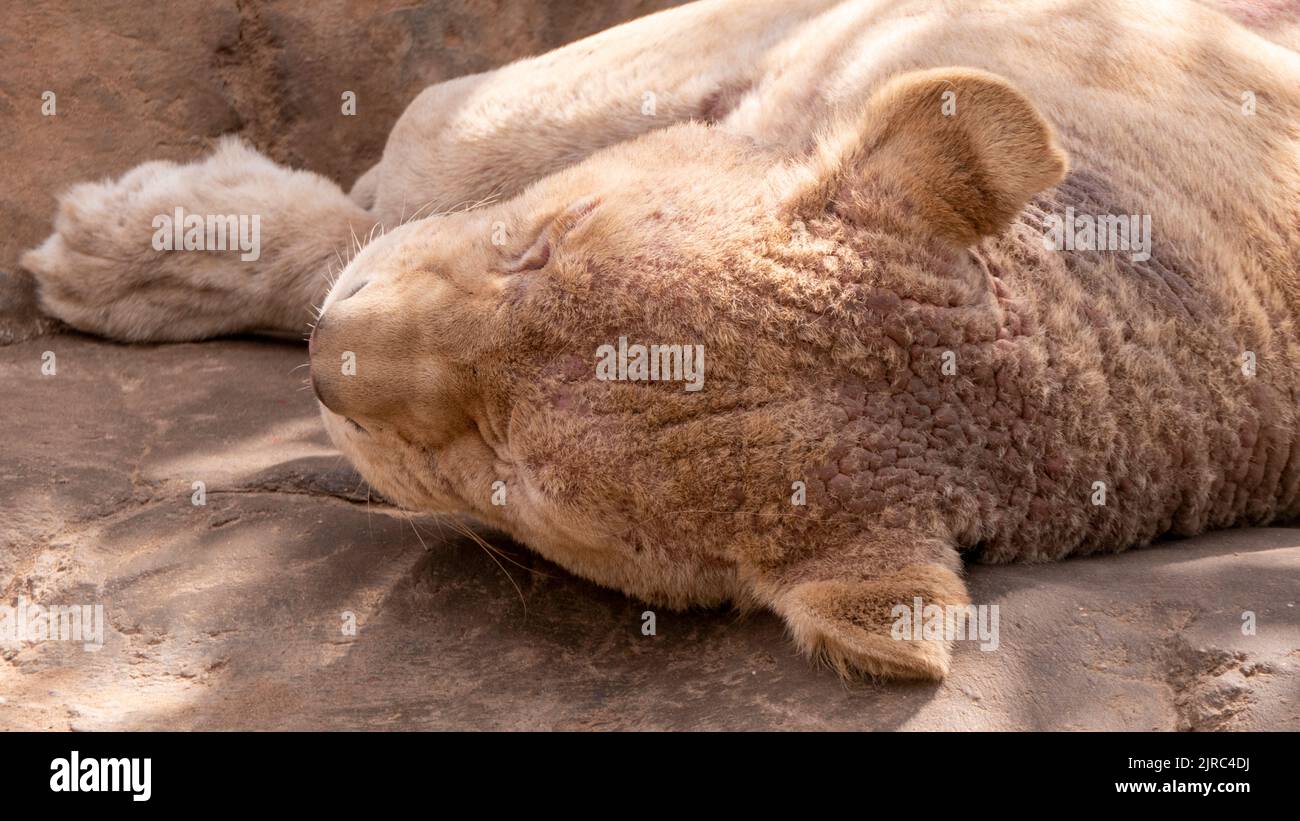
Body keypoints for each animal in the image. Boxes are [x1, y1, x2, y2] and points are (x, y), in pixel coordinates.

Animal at [20, 0, 1300, 679]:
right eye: (548, 241)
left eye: (513, 477)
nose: (328, 357)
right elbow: (448, 138)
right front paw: (137, 243)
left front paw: (116, 248)